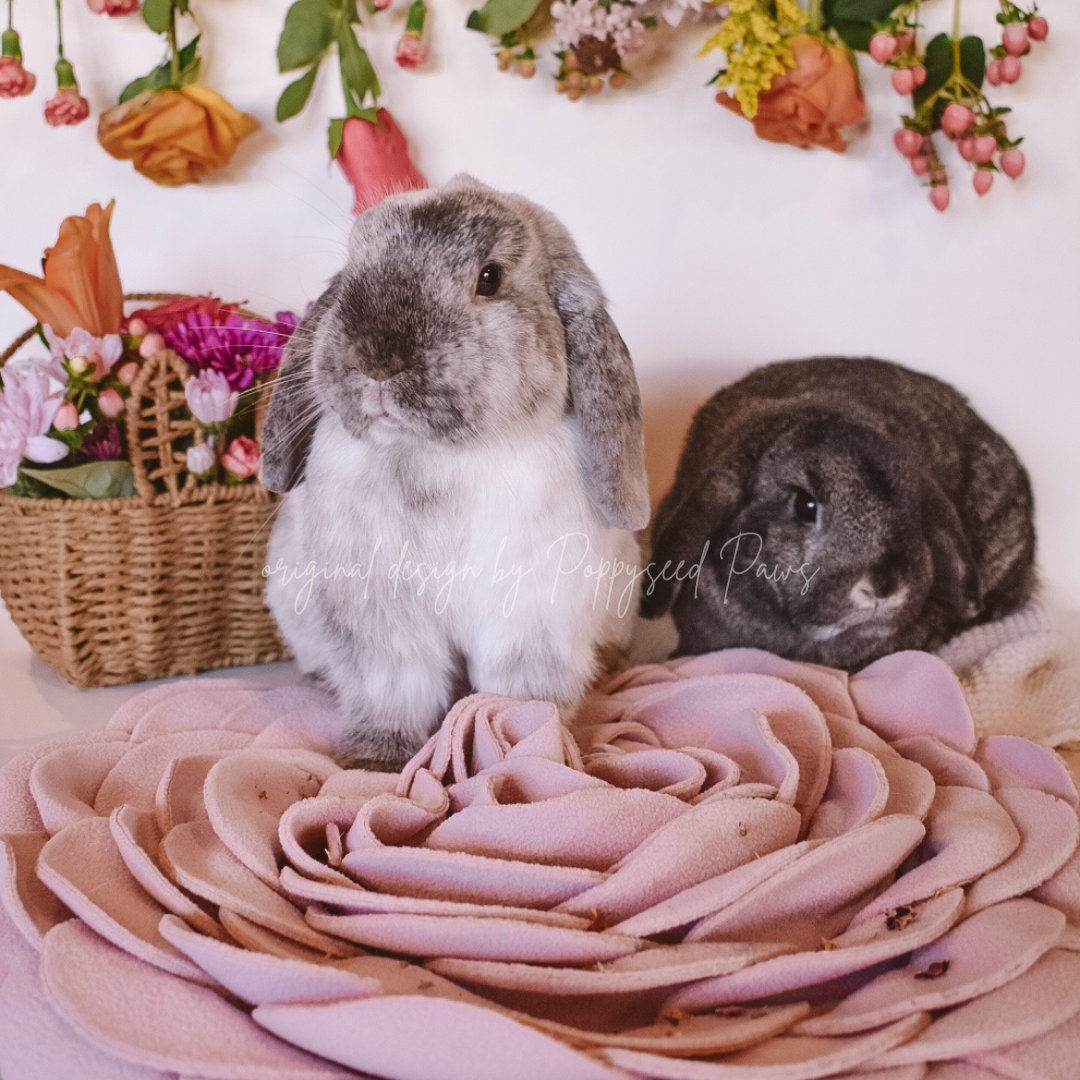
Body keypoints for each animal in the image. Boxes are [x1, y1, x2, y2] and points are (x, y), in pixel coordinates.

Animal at [260, 176, 649, 766]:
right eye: (352, 268)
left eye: (490, 277)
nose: (376, 361)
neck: (438, 457)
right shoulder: (382, 622)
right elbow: (393, 688)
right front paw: (373, 757)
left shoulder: (531, 621)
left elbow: (517, 701)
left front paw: (524, 751)